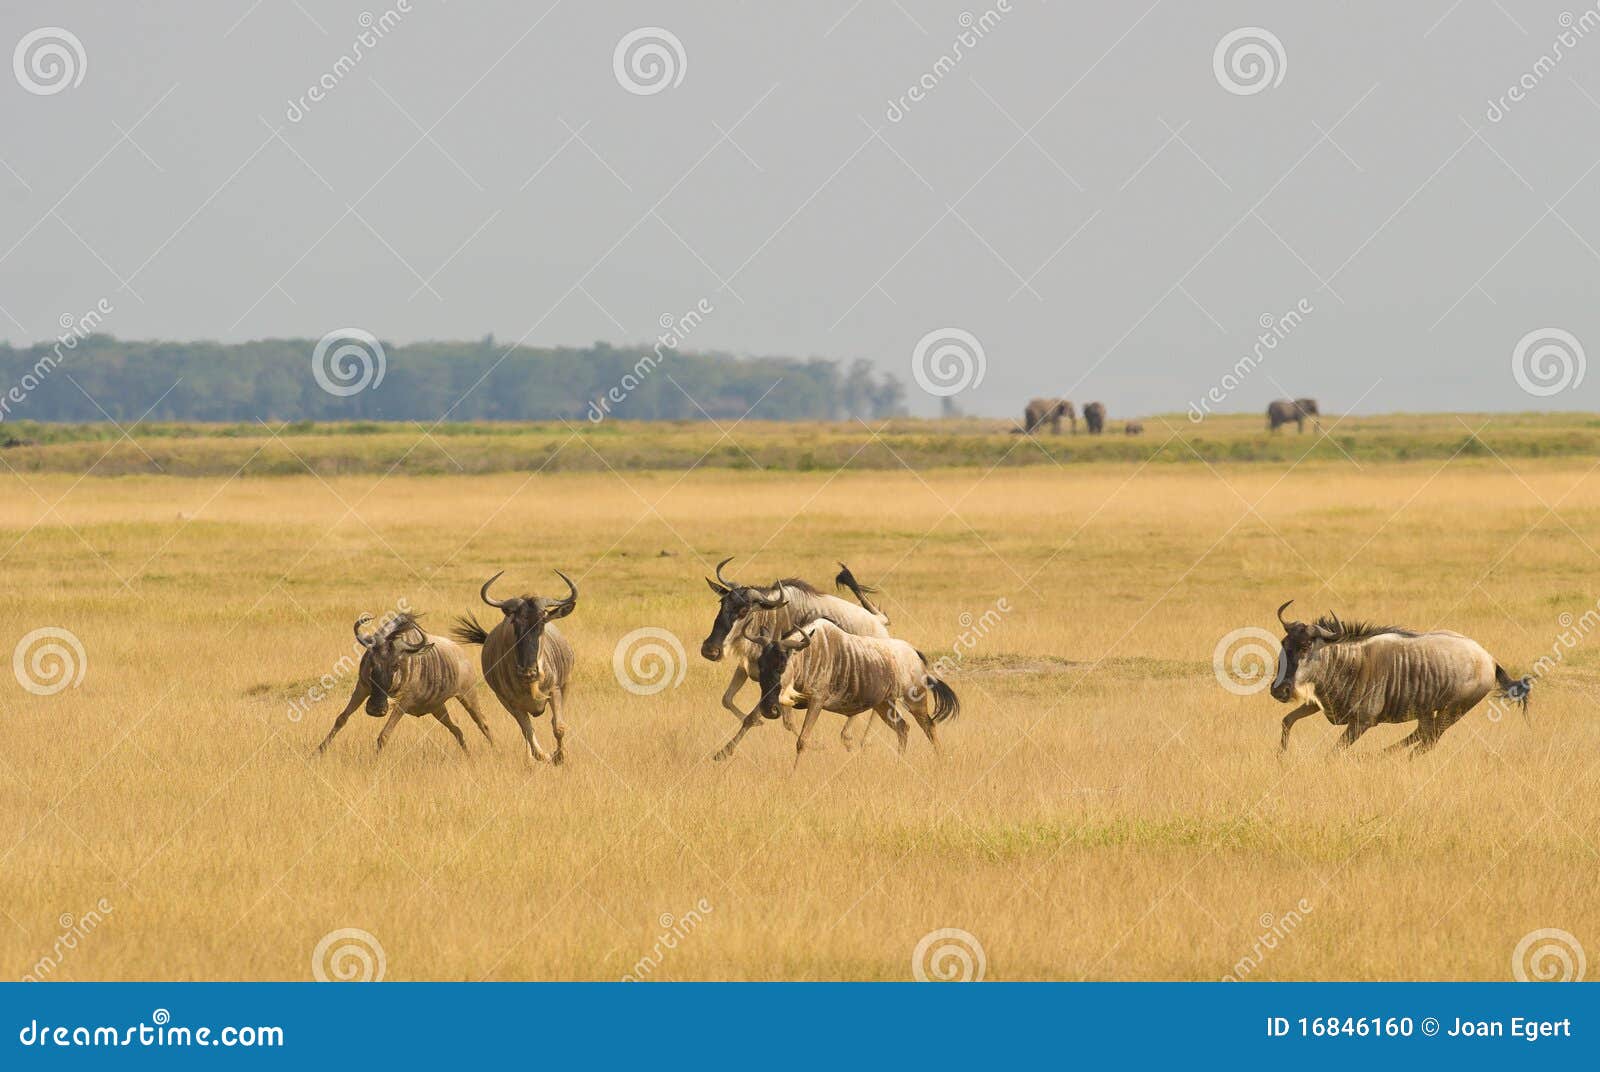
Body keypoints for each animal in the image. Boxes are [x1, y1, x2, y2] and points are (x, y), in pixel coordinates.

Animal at [316, 613, 493, 755]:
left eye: (395, 665)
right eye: (372, 662)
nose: (376, 709)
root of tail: (463, 655)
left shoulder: (404, 701)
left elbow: (384, 734)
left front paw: (375, 761)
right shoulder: (363, 687)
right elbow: (341, 718)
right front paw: (318, 751)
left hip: (468, 695)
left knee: (483, 723)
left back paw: (494, 750)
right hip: (437, 708)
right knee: (457, 729)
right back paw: (467, 754)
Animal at [452, 570, 578, 765]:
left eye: (542, 622)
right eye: (515, 623)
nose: (528, 672)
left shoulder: (556, 690)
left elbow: (558, 727)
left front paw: (560, 757)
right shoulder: (512, 702)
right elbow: (528, 732)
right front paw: (545, 756)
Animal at [712, 618, 960, 767]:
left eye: (782, 664)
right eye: (760, 665)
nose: (770, 710)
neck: (806, 657)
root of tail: (915, 653)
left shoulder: (817, 701)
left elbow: (802, 740)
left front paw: (794, 773)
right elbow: (750, 718)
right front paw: (722, 753)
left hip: (914, 699)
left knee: (929, 726)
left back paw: (940, 760)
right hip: (883, 704)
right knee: (903, 728)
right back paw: (899, 763)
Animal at [1271, 600, 1530, 756]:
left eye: (1306, 646)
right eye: (1284, 643)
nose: (1279, 690)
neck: (1346, 665)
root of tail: (1490, 659)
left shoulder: (1362, 722)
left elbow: (1334, 752)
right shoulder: (1319, 705)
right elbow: (1286, 721)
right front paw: (1280, 756)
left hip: (1454, 710)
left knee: (1429, 739)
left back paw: (1381, 756)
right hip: (1428, 710)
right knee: (1424, 734)